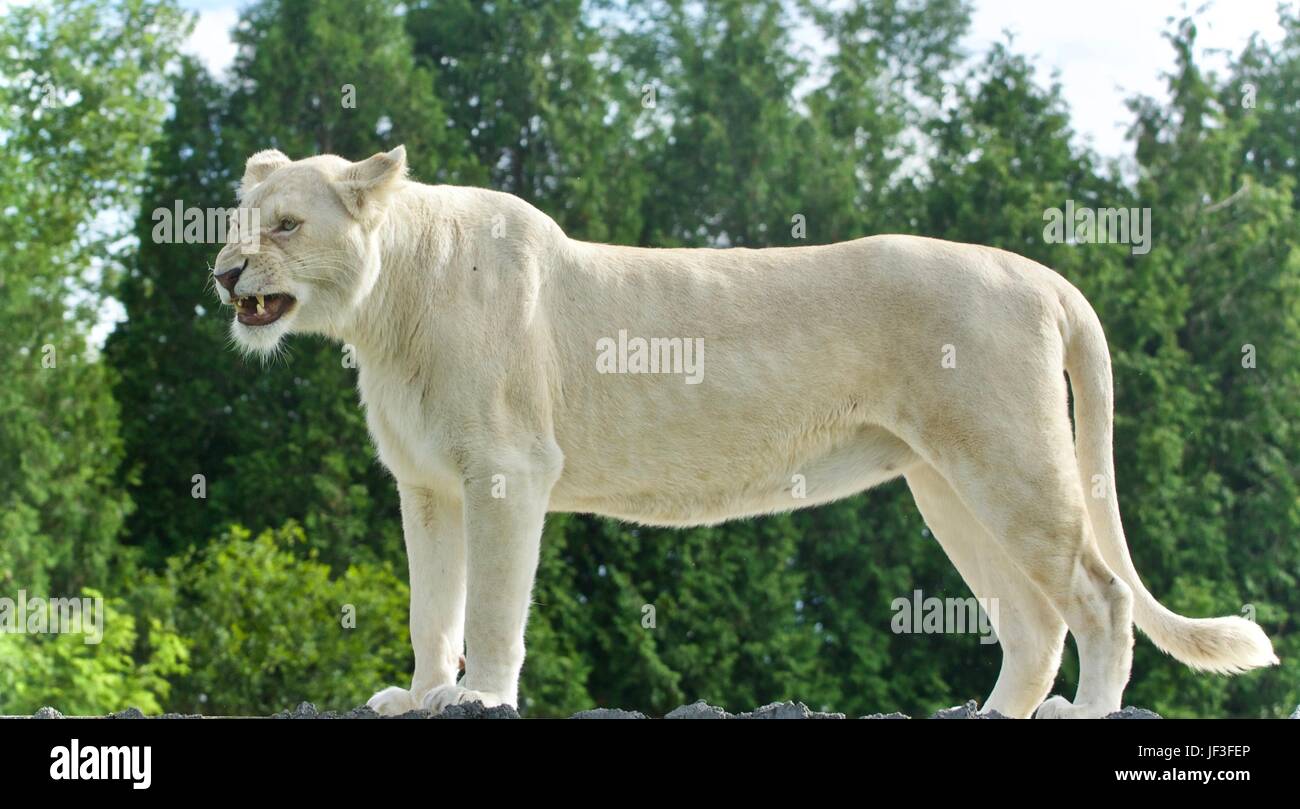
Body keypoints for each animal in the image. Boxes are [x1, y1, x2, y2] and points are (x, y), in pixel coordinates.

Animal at [212, 145, 1277, 718]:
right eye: (234, 219)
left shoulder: (509, 469)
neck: (381, 311)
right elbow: (431, 603)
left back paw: (1088, 710)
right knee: (1032, 618)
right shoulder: (427, 483)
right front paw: (422, 692)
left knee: (1099, 598)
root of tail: (1046, 273)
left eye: (288, 225)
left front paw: (478, 695)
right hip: (948, 480)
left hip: (1009, 459)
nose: (223, 274)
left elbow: (493, 606)